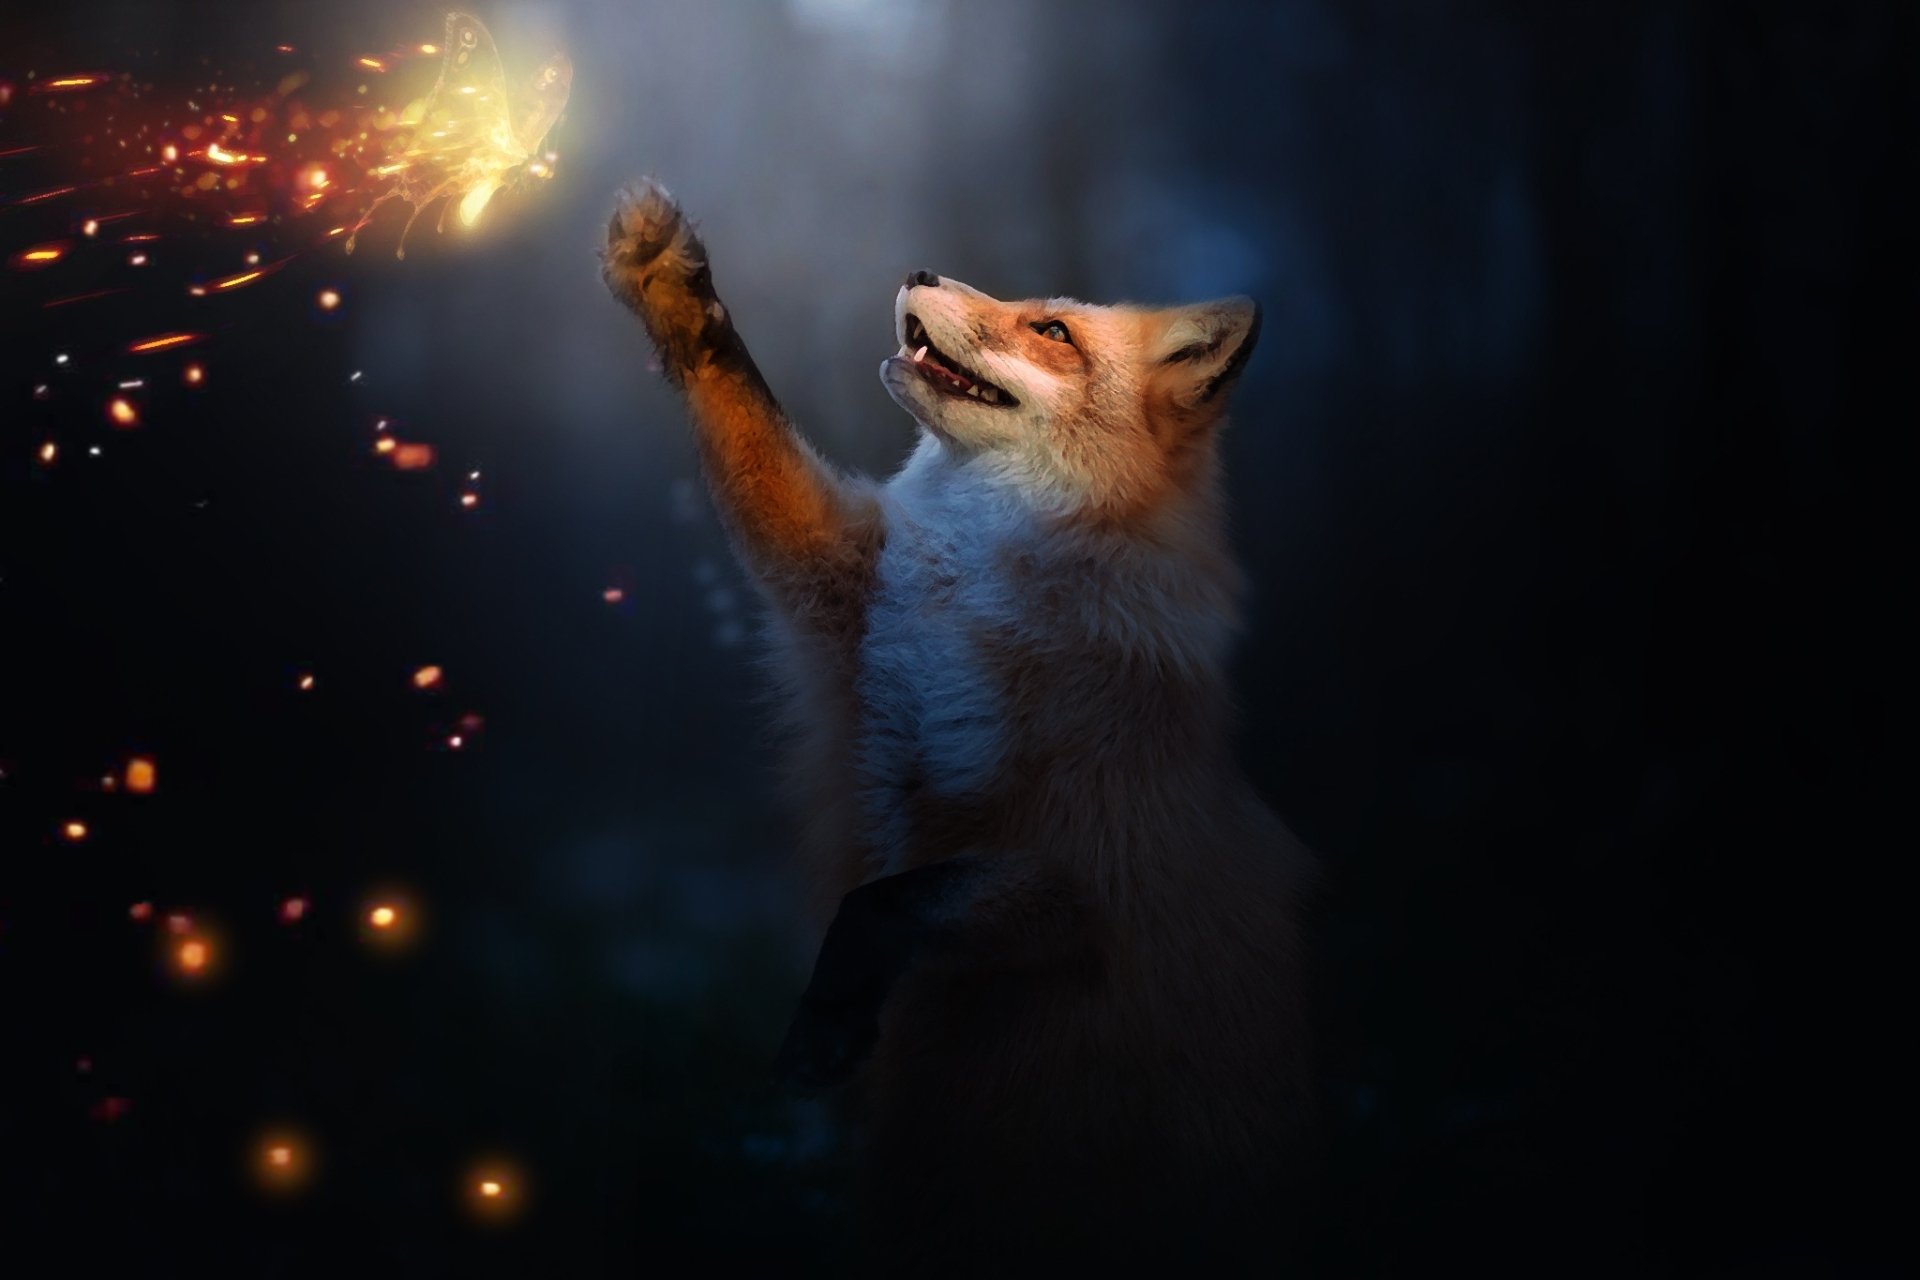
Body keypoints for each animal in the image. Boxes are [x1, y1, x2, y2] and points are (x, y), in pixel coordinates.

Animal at [601, 177, 1315, 1273]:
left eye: (1054, 331)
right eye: (1036, 310)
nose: (921, 268)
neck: (970, 583)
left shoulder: (1085, 867)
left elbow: (884, 902)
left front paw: (827, 1027)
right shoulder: (843, 594)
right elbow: (742, 408)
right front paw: (668, 285)